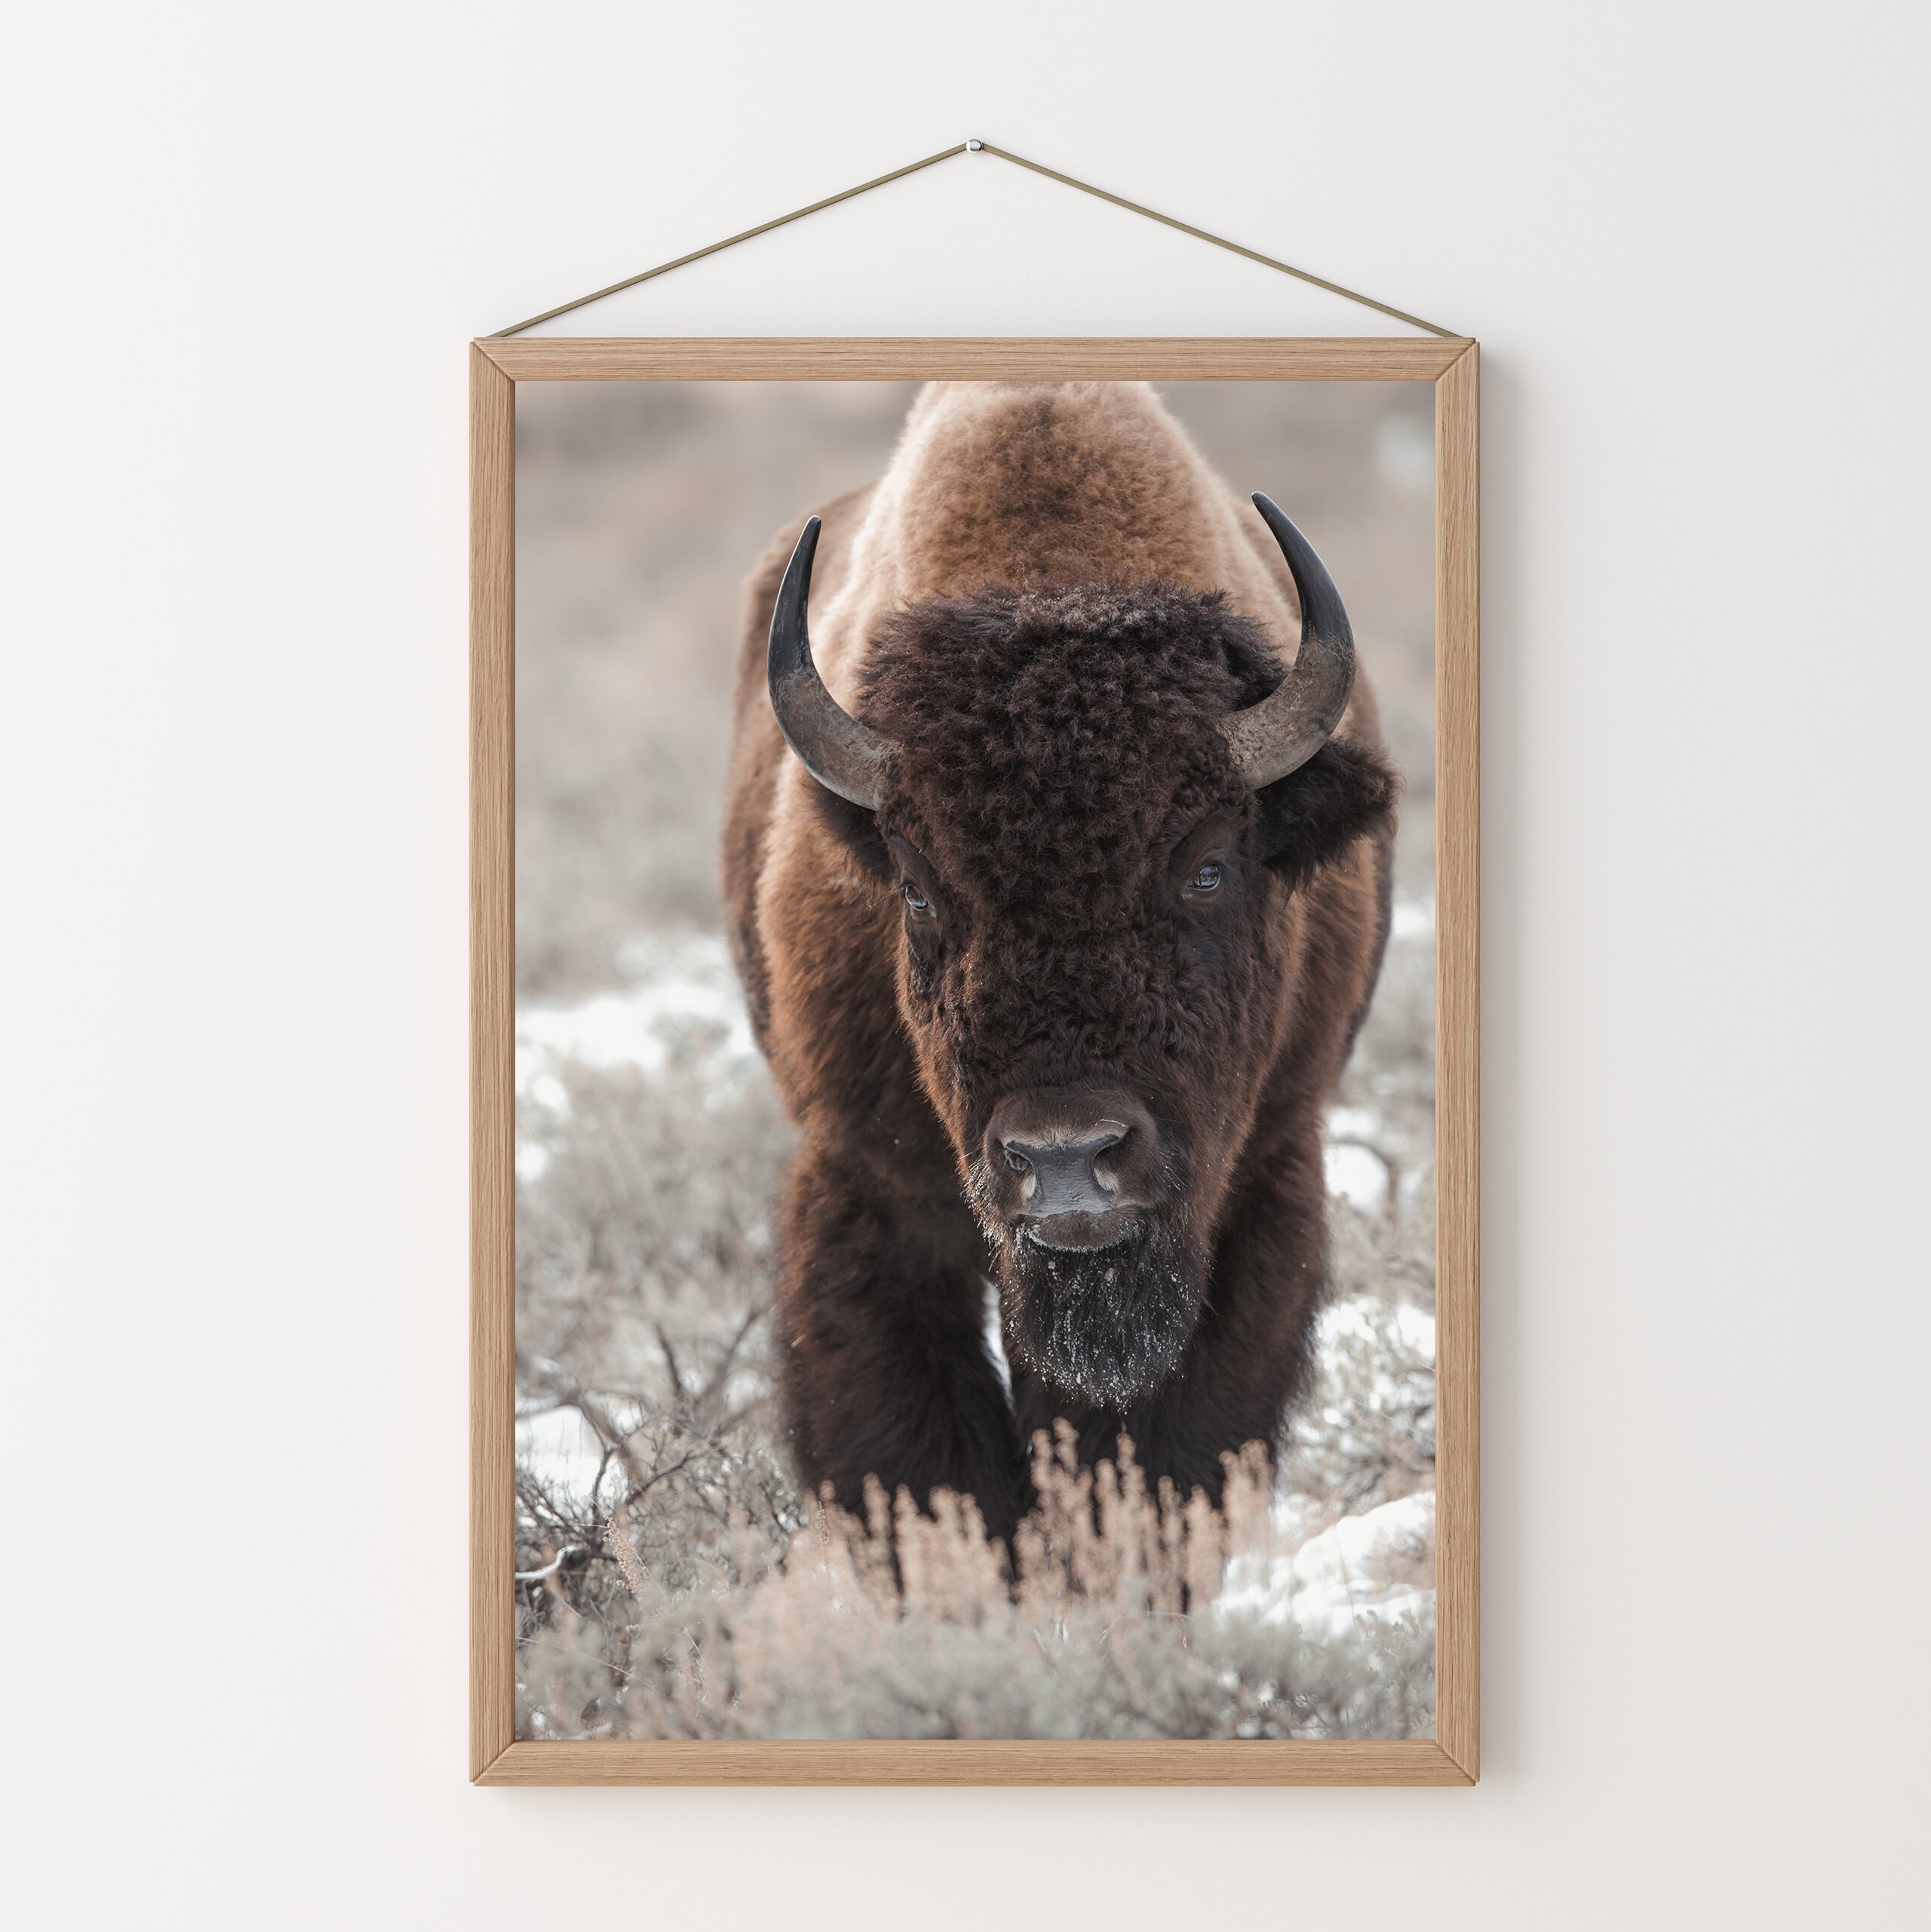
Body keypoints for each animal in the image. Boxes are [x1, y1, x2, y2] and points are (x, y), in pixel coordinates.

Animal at [722, 381, 1398, 1541]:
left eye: (1208, 865)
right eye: (917, 886)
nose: (1068, 1158)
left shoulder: (1262, 1172)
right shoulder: (867, 1185)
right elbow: (924, 1456)